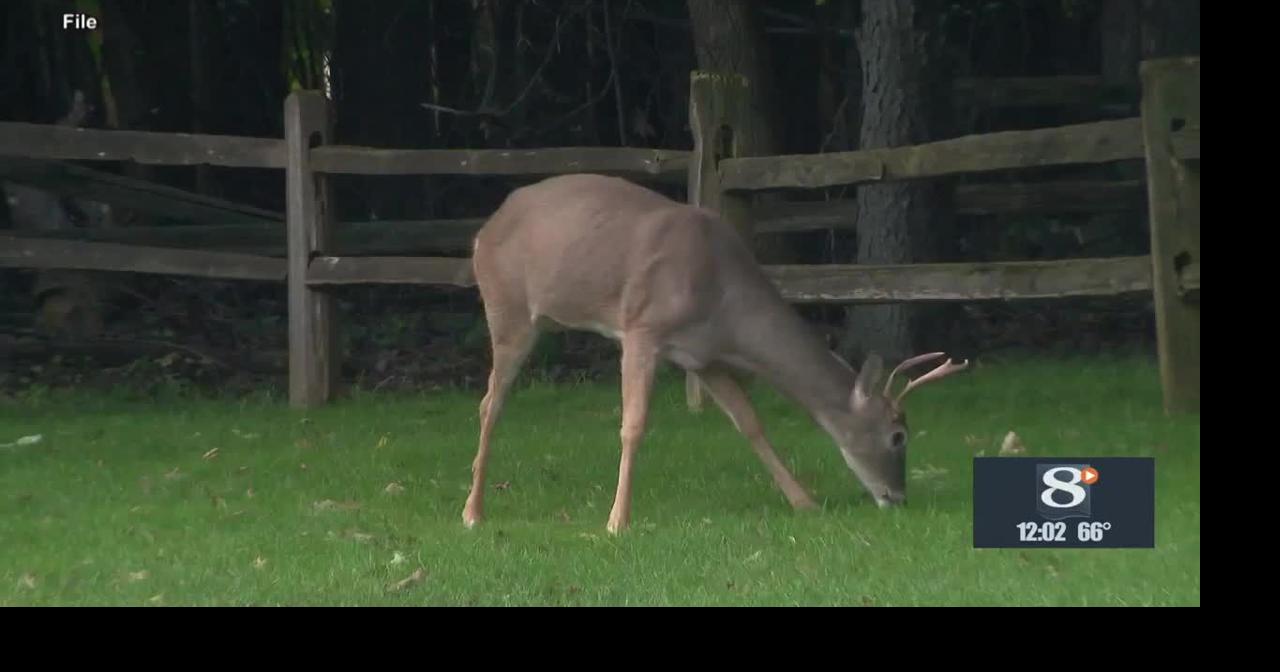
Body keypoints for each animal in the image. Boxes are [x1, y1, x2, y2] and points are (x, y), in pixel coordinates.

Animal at [463, 173, 969, 534]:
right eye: (898, 436)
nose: (898, 498)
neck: (725, 302)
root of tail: (484, 228)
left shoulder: (703, 357)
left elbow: (751, 424)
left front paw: (804, 502)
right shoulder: (642, 328)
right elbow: (633, 425)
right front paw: (617, 521)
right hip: (507, 308)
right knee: (490, 403)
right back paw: (473, 512)